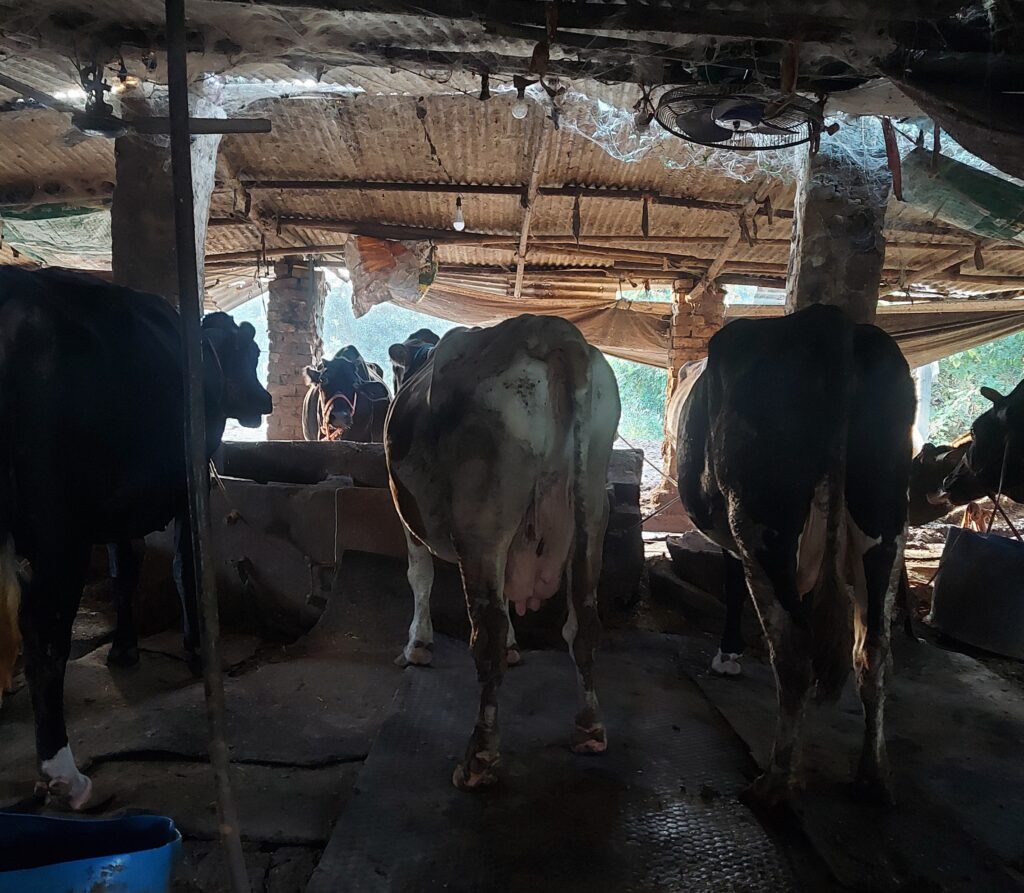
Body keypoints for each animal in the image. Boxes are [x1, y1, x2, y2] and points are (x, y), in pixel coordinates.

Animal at [0, 266, 272, 809]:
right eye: (253, 354)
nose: (266, 399)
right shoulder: (191, 484)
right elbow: (185, 568)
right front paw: (196, 651)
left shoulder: (116, 509)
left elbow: (124, 571)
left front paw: (124, 649)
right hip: (56, 524)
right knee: (44, 635)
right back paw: (64, 775)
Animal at [384, 315, 620, 790]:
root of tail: (548, 331)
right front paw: (516, 644)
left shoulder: (407, 515)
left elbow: (419, 578)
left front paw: (418, 645)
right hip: (591, 509)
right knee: (584, 625)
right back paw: (589, 729)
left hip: (481, 523)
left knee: (486, 637)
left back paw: (479, 758)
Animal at [677, 304, 915, 804]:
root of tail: (826, 320)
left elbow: (732, 583)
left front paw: (727, 655)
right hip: (884, 515)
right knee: (875, 649)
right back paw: (874, 773)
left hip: (761, 519)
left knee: (794, 651)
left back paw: (775, 781)